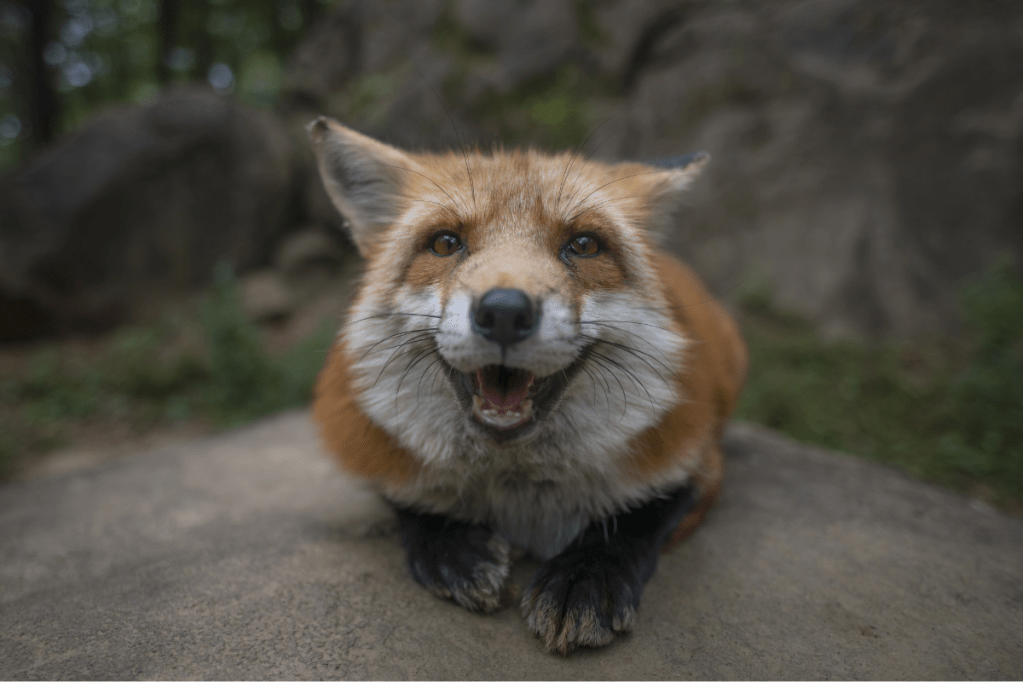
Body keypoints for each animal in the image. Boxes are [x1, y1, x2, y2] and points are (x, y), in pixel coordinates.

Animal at [307, 116, 748, 654]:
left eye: (584, 244)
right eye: (445, 243)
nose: (503, 311)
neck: (519, 494)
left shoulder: (698, 461)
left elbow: (635, 519)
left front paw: (585, 576)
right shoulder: (374, 450)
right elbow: (407, 502)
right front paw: (452, 547)